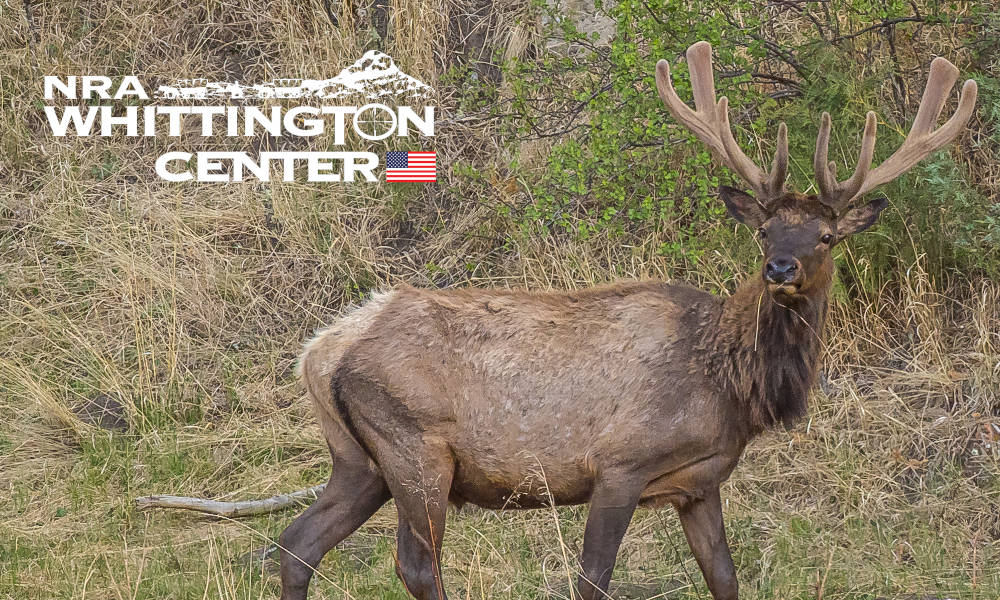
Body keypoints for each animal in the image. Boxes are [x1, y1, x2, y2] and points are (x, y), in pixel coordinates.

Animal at [277, 41, 977, 600]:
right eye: (765, 229)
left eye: (826, 237)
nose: (780, 268)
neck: (732, 385)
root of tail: (319, 352)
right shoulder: (619, 464)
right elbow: (593, 579)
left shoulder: (699, 483)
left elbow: (725, 577)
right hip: (414, 446)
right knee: (416, 564)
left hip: (359, 460)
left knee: (297, 542)